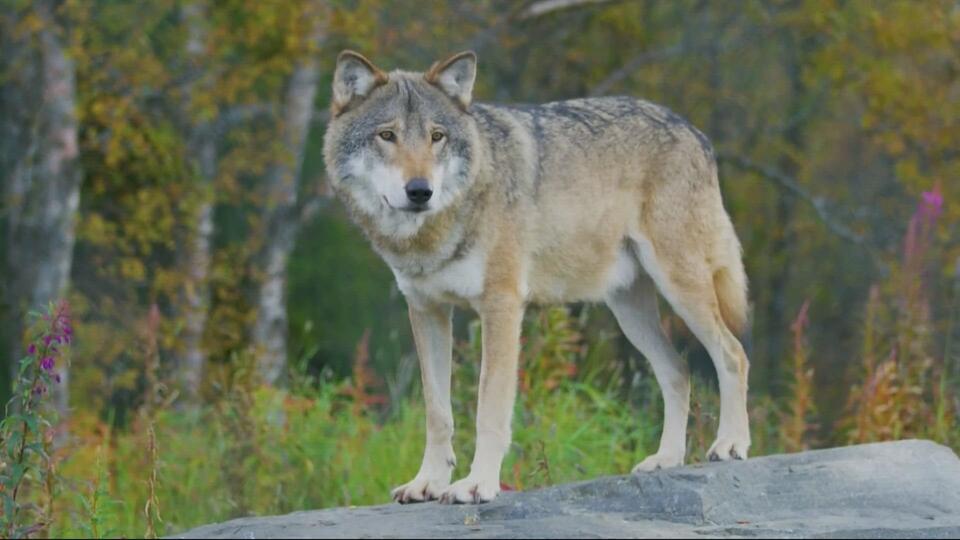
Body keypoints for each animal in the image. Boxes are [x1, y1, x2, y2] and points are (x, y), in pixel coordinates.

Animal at [322, 51, 751, 505]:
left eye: (437, 136)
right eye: (387, 135)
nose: (420, 190)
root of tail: (694, 132)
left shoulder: (502, 306)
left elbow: (489, 408)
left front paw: (477, 483)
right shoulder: (426, 311)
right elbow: (437, 414)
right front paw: (429, 483)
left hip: (680, 288)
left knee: (733, 354)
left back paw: (731, 445)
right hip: (629, 312)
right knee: (679, 371)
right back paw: (666, 459)